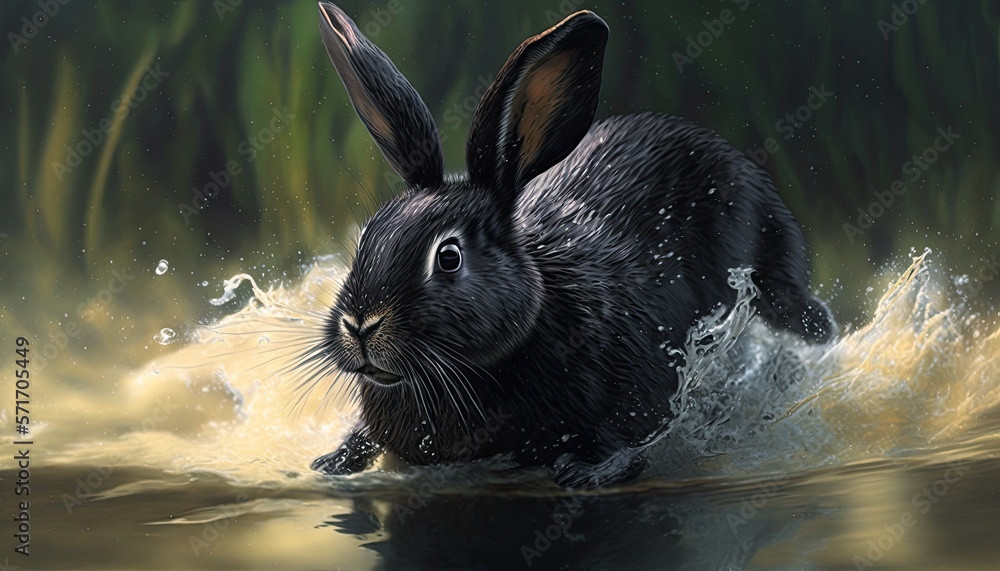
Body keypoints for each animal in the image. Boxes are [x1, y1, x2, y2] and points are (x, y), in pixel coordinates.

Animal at [309, 2, 835, 488]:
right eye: (367, 236)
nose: (360, 325)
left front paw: (587, 471)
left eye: (449, 257)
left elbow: (631, 437)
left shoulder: (640, 368)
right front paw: (330, 462)